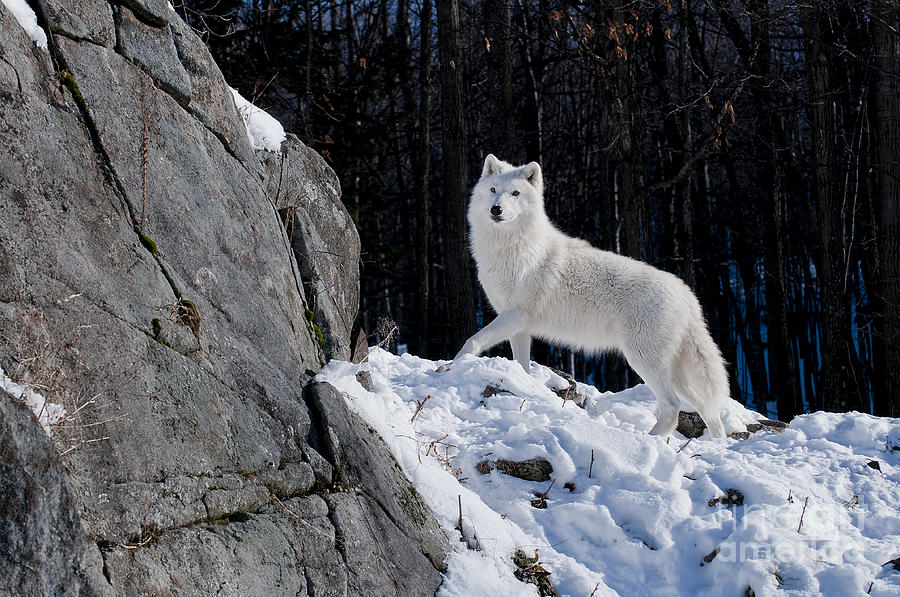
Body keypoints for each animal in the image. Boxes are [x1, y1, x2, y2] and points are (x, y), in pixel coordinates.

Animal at [446, 154, 728, 438]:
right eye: (494, 190)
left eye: (515, 193)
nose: (496, 210)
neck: (510, 248)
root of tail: (687, 295)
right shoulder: (518, 327)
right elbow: (522, 366)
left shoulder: (514, 315)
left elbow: (471, 341)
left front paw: (448, 368)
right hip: (674, 371)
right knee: (708, 410)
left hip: (643, 360)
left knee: (672, 407)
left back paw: (647, 439)